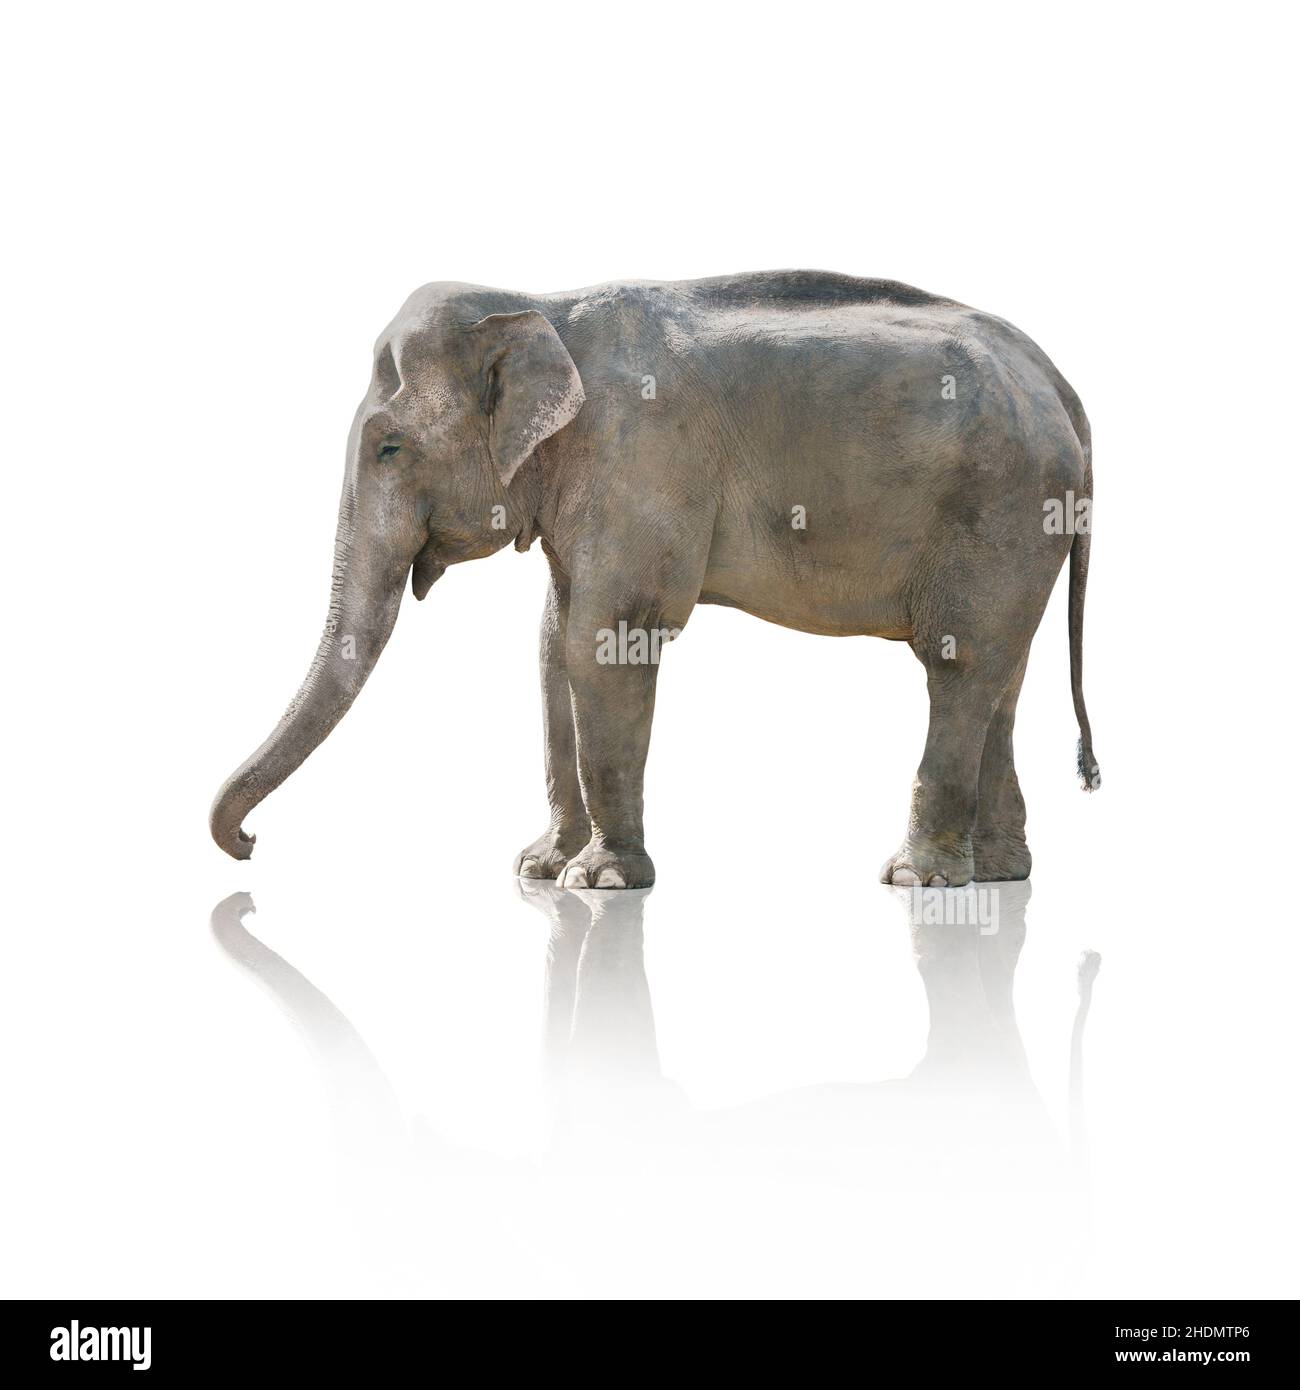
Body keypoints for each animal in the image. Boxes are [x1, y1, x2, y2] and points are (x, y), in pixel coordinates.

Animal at [210, 271, 1098, 887]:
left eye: (389, 448)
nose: (251, 844)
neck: (541, 305)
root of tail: (1058, 379)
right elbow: (552, 647)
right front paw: (540, 869)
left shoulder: (641, 460)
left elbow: (604, 641)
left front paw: (600, 881)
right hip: (1020, 527)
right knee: (1000, 674)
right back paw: (1000, 874)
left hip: (1001, 506)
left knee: (958, 663)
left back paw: (919, 881)